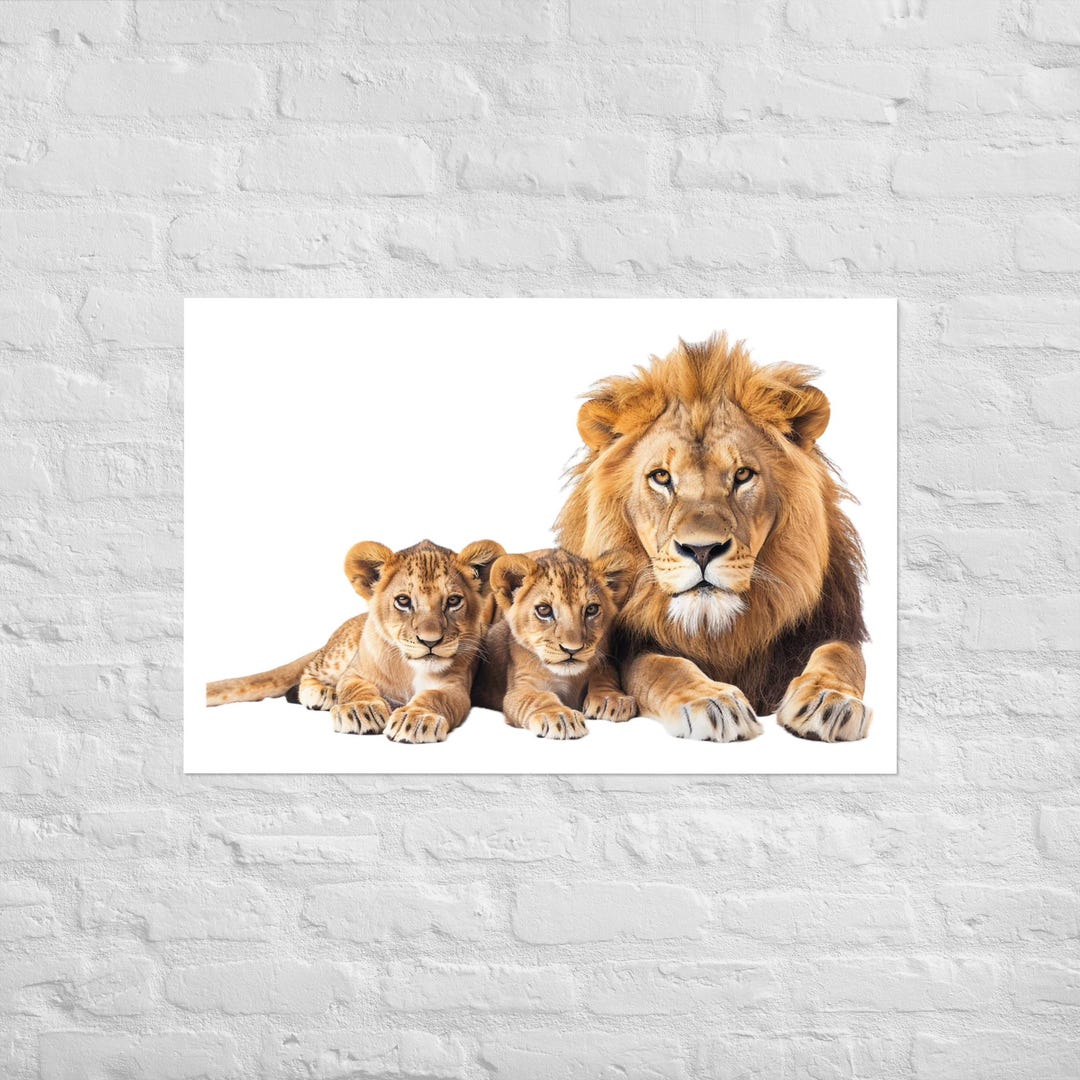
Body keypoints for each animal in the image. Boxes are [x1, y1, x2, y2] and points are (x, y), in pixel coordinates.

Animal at [206, 538, 504, 744]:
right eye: (403, 601)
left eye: (453, 601)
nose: (430, 641)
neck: (409, 669)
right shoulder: (354, 671)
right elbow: (355, 687)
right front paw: (362, 710)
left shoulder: (456, 688)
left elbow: (436, 698)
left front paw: (417, 719)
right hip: (336, 655)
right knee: (310, 671)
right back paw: (324, 694)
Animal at [472, 548, 635, 739]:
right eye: (544, 610)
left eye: (591, 609)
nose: (572, 649)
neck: (569, 677)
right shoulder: (520, 687)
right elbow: (537, 698)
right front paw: (559, 715)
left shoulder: (604, 660)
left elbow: (606, 675)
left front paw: (613, 699)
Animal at [555, 333, 870, 743]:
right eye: (661, 477)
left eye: (742, 475)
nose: (701, 549)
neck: (716, 629)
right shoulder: (636, 649)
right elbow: (664, 667)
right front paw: (713, 702)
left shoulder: (832, 626)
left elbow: (841, 656)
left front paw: (830, 700)